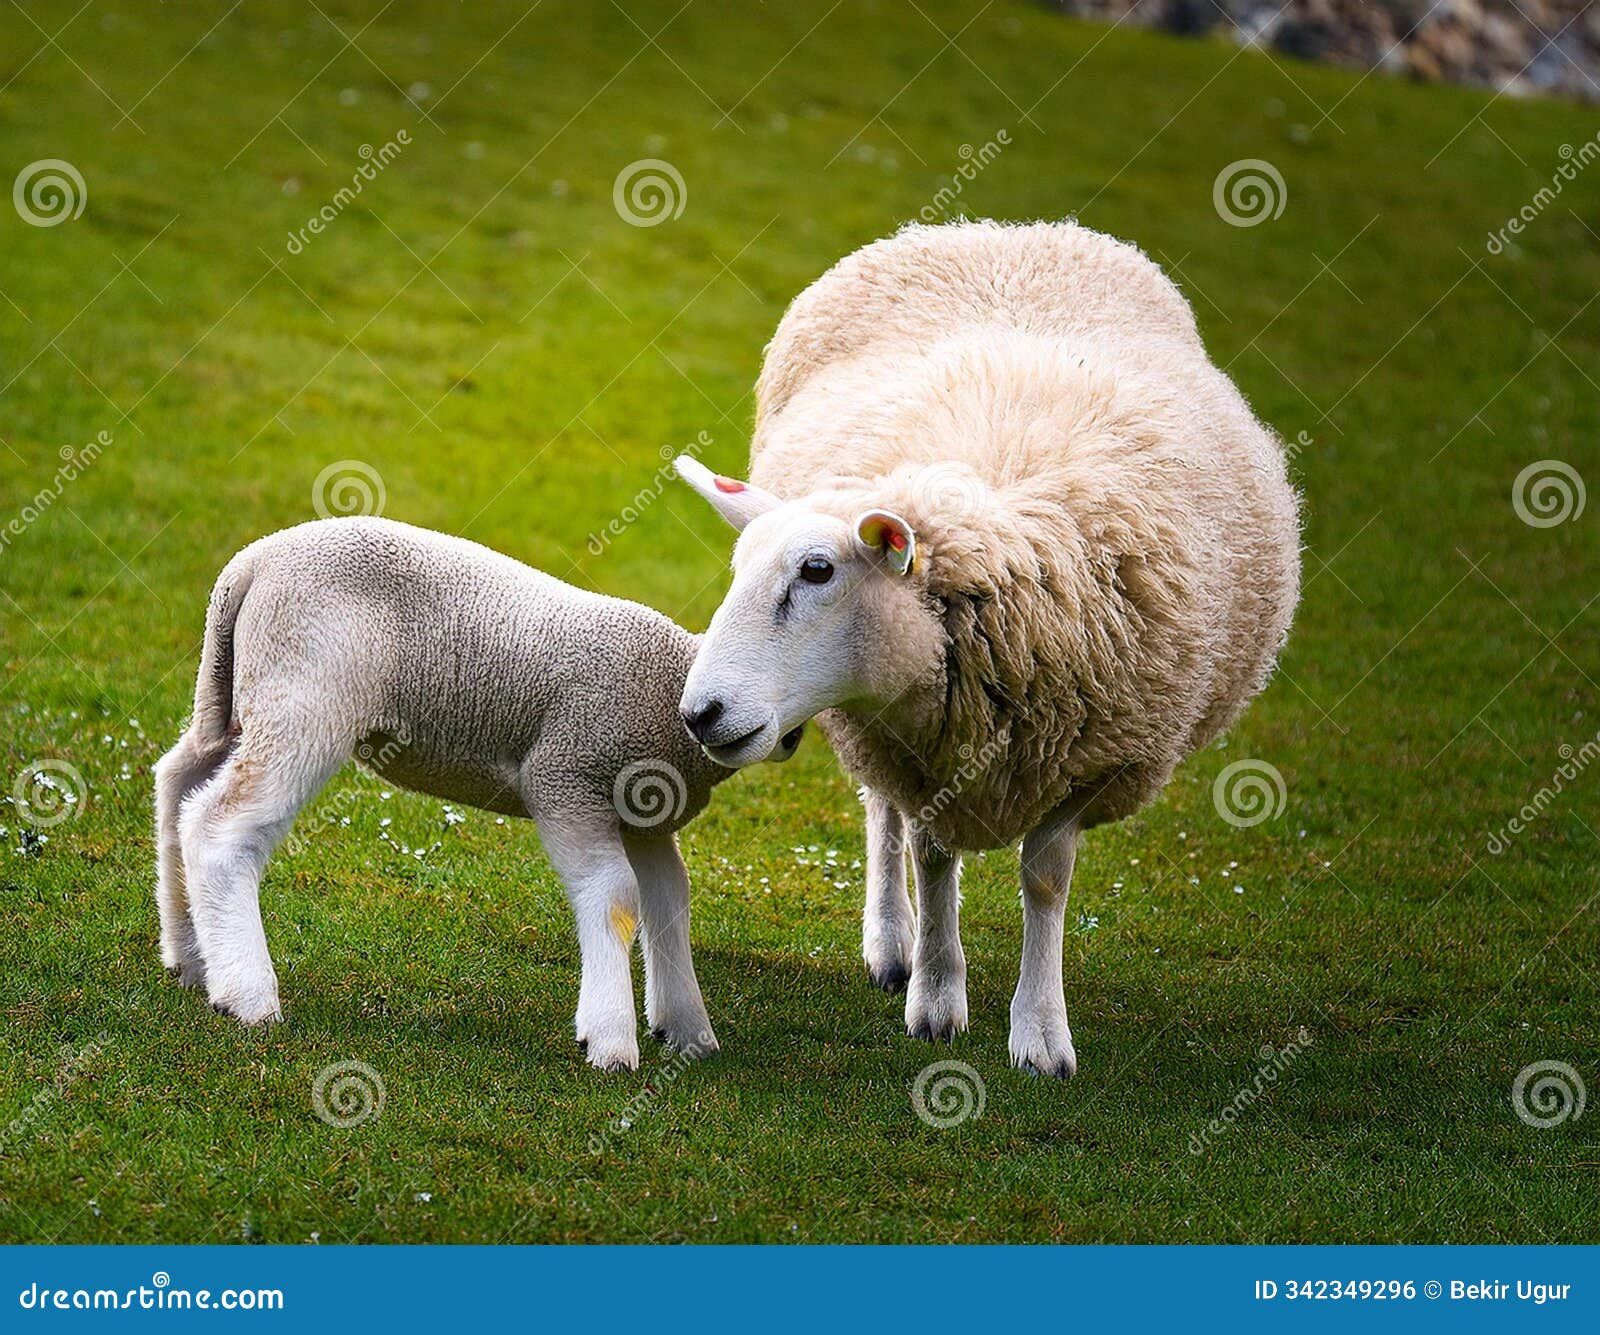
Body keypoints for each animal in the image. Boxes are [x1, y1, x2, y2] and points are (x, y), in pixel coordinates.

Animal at [153, 515, 802, 1072]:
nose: (789, 737)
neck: (670, 689)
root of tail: (251, 565)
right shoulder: (565, 776)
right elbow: (617, 895)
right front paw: (610, 1038)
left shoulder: (643, 817)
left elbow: (670, 900)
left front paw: (686, 1029)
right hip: (305, 696)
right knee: (218, 827)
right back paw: (245, 992)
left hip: (233, 696)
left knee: (177, 785)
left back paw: (190, 956)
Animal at [675, 219, 1301, 1078]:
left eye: (817, 570)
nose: (700, 713)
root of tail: (995, 232)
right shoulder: (921, 747)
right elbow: (932, 852)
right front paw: (936, 999)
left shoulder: (1092, 755)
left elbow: (1046, 879)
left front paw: (1040, 1032)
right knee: (883, 816)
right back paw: (892, 942)